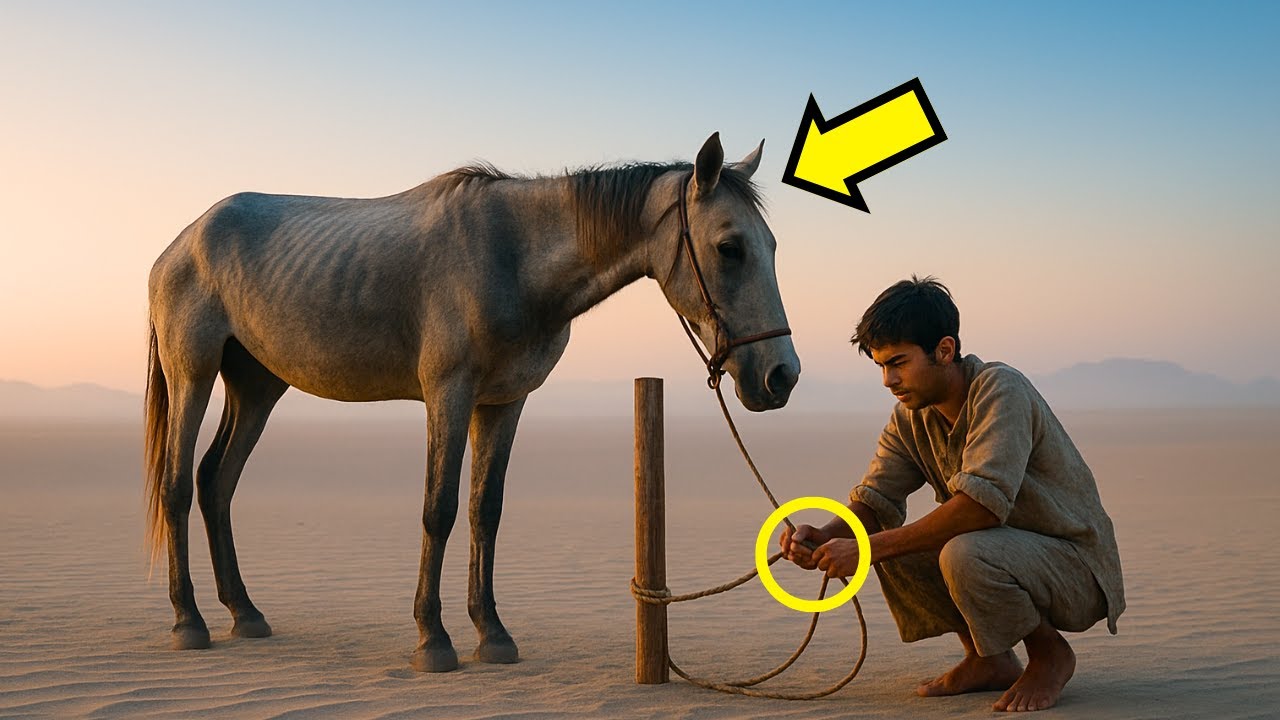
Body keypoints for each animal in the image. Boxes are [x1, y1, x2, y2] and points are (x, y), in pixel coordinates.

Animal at [144, 132, 800, 672]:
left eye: (771, 244)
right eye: (729, 247)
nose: (781, 376)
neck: (512, 258)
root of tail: (181, 242)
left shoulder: (504, 403)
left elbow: (487, 510)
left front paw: (492, 633)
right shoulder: (449, 395)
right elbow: (439, 510)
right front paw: (432, 639)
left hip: (256, 387)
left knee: (216, 481)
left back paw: (245, 613)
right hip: (193, 374)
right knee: (177, 484)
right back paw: (189, 621)